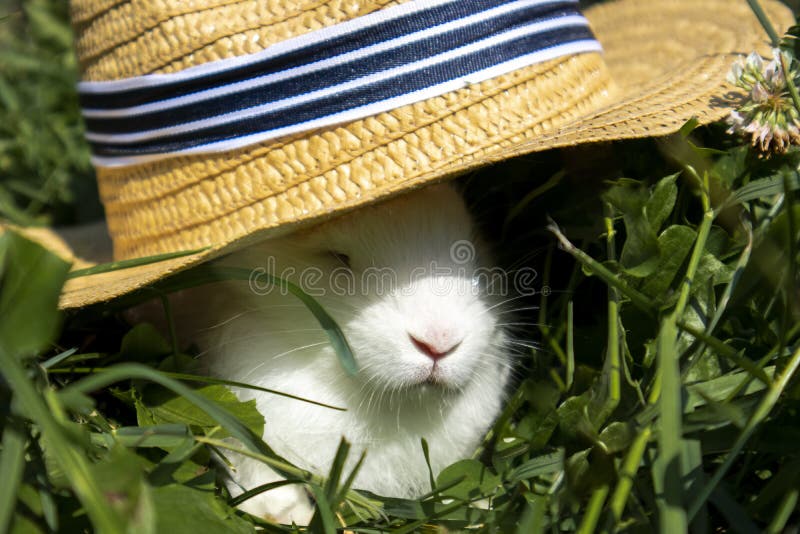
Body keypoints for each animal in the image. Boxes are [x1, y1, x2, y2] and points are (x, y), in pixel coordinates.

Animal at [168, 183, 514, 524]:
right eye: (338, 257)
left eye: (473, 253)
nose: (439, 342)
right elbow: (254, 467)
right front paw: (287, 515)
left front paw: (480, 507)